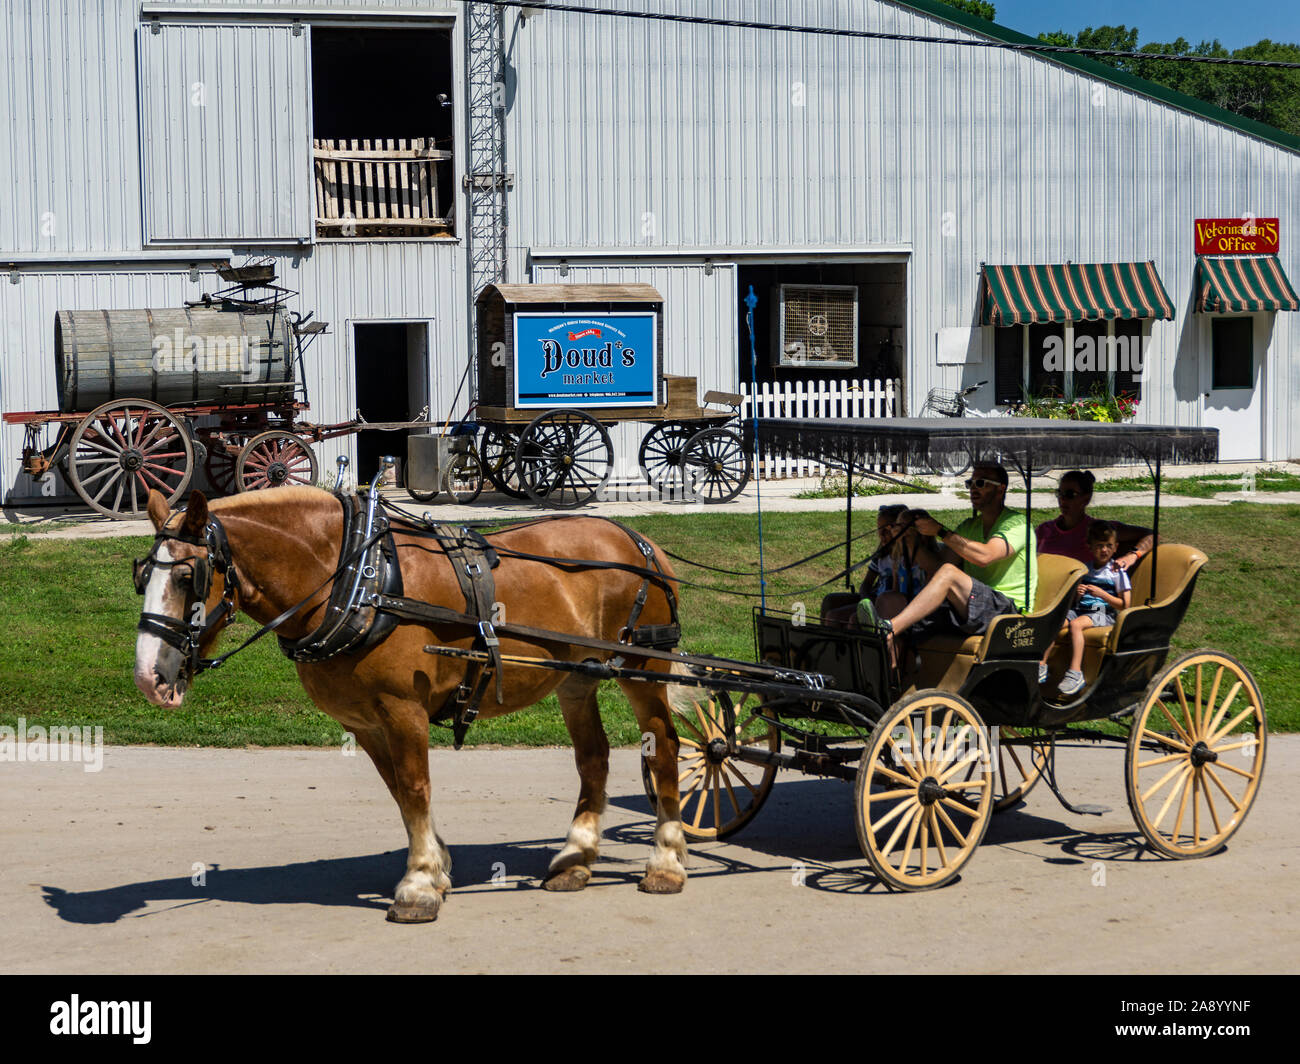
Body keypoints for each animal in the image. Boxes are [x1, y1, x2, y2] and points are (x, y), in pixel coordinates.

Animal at [132, 485, 689, 922]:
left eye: (186, 577)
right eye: (142, 578)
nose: (148, 677)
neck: (360, 581)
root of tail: (639, 541)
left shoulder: (403, 710)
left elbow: (417, 787)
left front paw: (418, 884)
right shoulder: (365, 722)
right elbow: (399, 792)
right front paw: (437, 867)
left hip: (643, 670)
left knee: (663, 747)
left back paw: (665, 859)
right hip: (577, 678)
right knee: (593, 757)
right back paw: (575, 858)